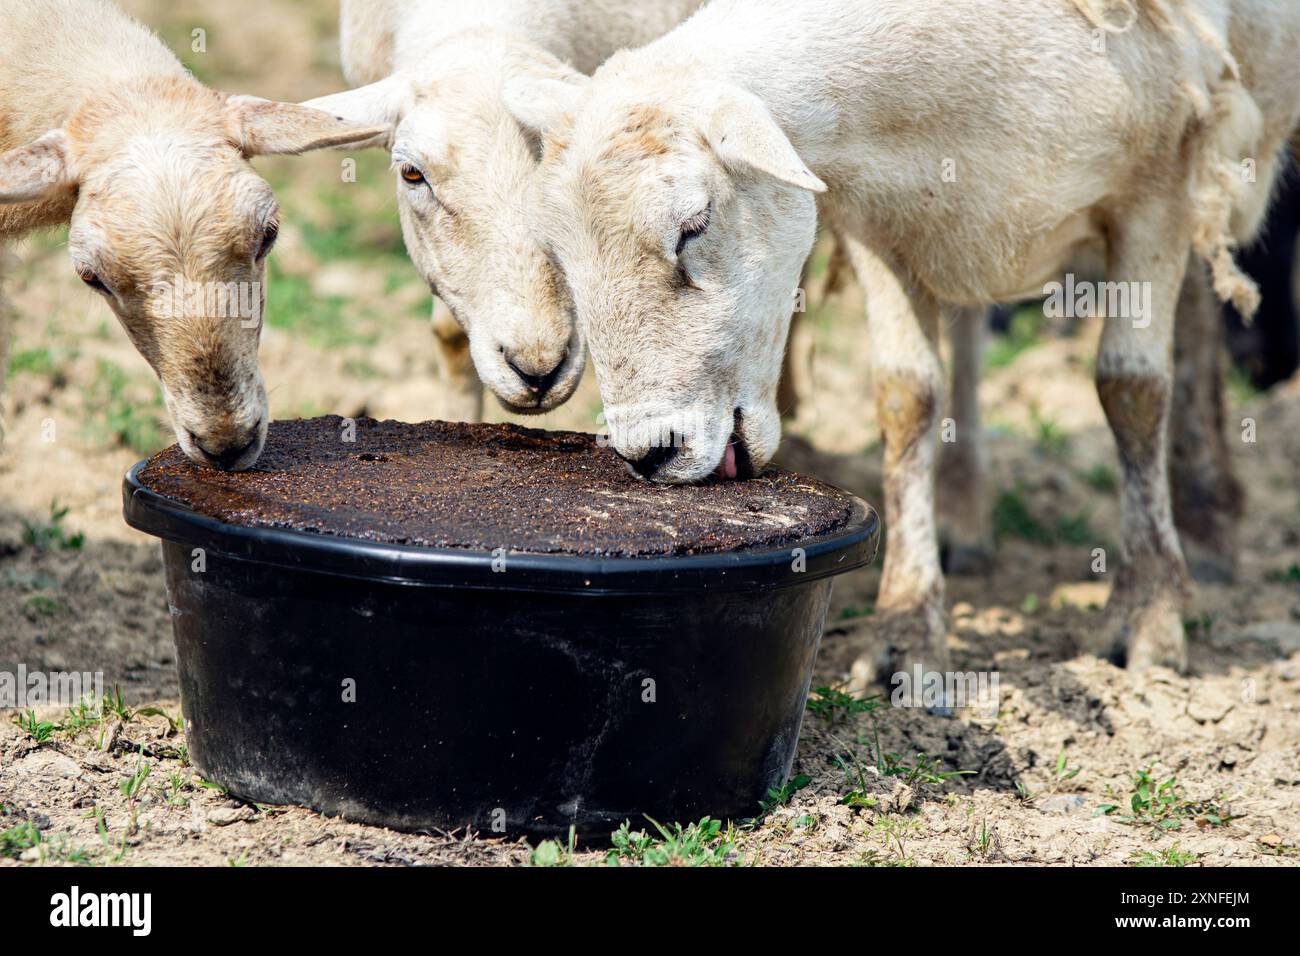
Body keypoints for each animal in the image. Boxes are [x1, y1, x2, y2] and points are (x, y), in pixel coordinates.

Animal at [507, 0, 1300, 680]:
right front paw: (907, 629)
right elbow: (906, 396)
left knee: (1194, 321)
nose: (650, 456)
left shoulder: (1157, 187)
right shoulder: (881, 221)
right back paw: (967, 513)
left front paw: (1148, 614)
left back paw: (1207, 520)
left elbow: (1131, 388)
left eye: (692, 227)